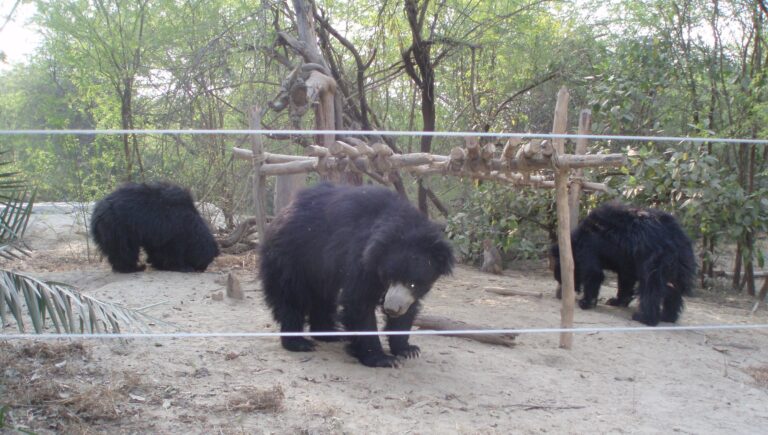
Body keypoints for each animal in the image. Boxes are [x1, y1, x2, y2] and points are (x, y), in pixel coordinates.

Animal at [90, 182, 220, 273]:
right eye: (206, 261)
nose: (202, 269)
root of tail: (97, 212)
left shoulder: (158, 233)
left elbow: (157, 249)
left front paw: (159, 264)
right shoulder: (173, 230)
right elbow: (172, 251)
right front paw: (183, 267)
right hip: (119, 226)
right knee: (124, 248)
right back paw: (134, 267)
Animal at [259, 182, 454, 368]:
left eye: (413, 283)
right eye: (389, 278)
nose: (391, 309)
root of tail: (281, 214)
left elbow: (409, 309)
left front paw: (408, 350)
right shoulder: (360, 258)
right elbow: (359, 302)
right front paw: (382, 359)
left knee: (322, 298)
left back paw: (329, 334)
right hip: (292, 256)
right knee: (292, 296)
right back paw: (298, 343)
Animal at [549, 202, 695, 326]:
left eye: (562, 279)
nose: (560, 295)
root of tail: (677, 237)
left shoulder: (588, 248)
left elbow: (594, 273)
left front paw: (585, 302)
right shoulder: (626, 259)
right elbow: (626, 279)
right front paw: (616, 301)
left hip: (654, 258)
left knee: (650, 286)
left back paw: (644, 317)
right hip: (678, 266)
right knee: (673, 289)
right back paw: (668, 317)